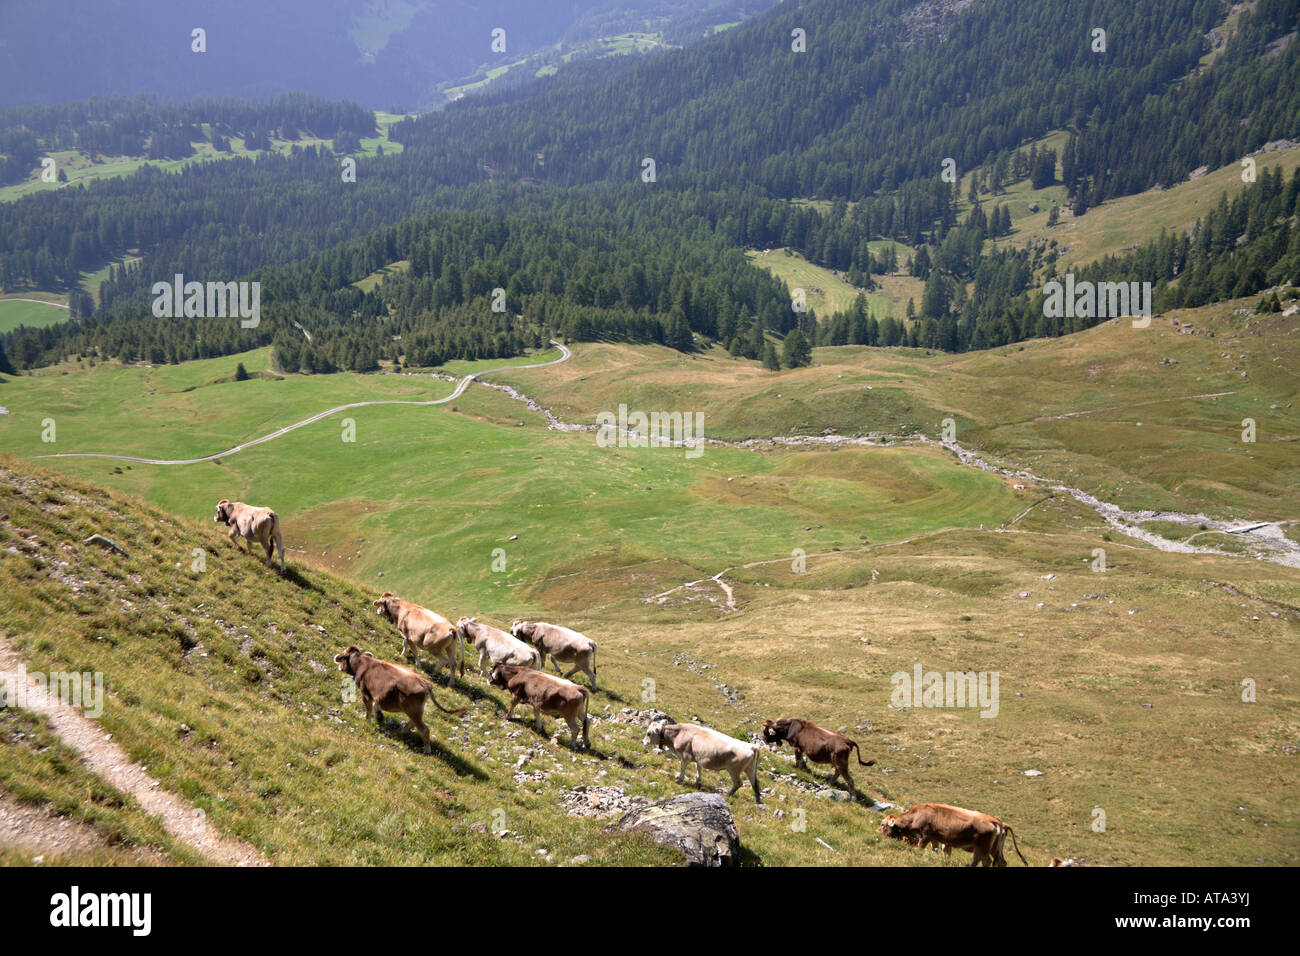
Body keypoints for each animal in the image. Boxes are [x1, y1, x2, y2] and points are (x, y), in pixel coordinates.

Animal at [334, 645, 466, 753]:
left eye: (343, 655)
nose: (337, 662)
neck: (362, 664)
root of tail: (424, 682)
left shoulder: (365, 693)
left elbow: (368, 709)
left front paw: (368, 721)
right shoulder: (377, 694)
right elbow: (376, 704)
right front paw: (379, 716)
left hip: (413, 709)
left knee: (424, 729)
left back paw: (427, 749)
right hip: (417, 709)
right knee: (414, 723)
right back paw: (400, 733)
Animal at [878, 803, 1028, 867]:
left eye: (883, 824)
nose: (877, 832)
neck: (916, 816)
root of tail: (994, 820)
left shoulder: (925, 837)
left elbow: (920, 849)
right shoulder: (935, 840)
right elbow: (934, 851)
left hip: (984, 848)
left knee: (986, 861)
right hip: (990, 849)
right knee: (998, 862)